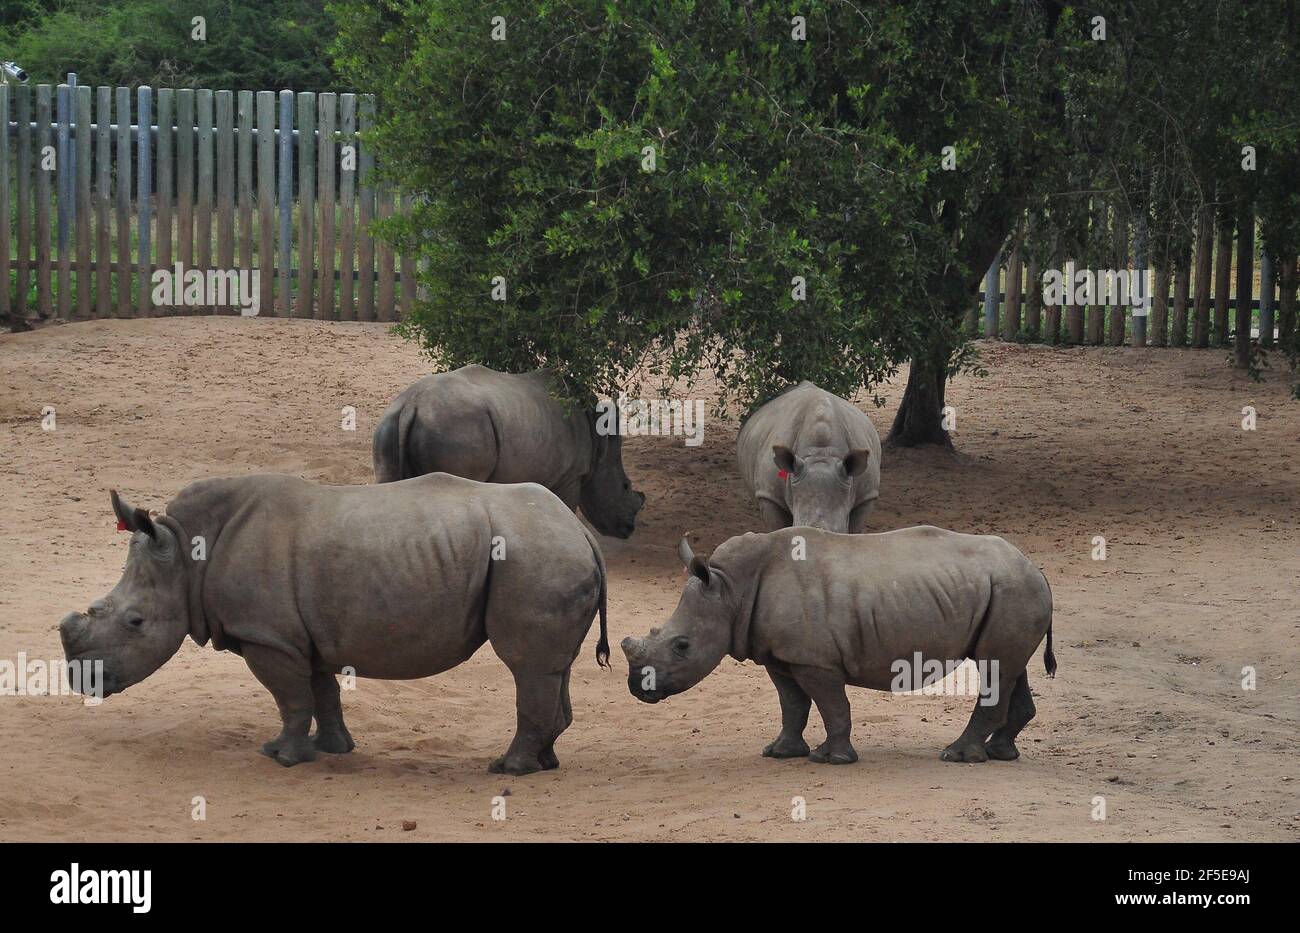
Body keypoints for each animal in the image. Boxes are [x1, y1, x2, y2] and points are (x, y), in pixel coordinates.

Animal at [58, 474, 609, 775]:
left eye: (135, 621)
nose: (81, 682)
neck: (186, 553)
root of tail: (582, 531)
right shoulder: (304, 635)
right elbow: (322, 692)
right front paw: (332, 749)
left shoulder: (268, 637)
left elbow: (291, 698)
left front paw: (281, 757)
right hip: (546, 554)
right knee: (553, 667)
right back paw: (543, 763)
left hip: (536, 556)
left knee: (526, 666)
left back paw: (507, 770)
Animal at [373, 365, 646, 539]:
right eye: (625, 486)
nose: (629, 529)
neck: (599, 445)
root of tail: (411, 405)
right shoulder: (571, 476)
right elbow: (566, 507)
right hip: (454, 427)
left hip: (390, 422)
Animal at [621, 526, 1055, 764]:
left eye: (682, 645)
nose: (637, 688)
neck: (731, 589)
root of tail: (1037, 569)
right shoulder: (780, 656)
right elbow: (792, 704)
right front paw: (780, 752)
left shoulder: (815, 660)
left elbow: (832, 705)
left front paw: (832, 759)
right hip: (1010, 591)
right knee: (1007, 668)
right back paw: (1000, 753)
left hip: (1013, 590)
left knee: (994, 668)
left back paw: (956, 755)